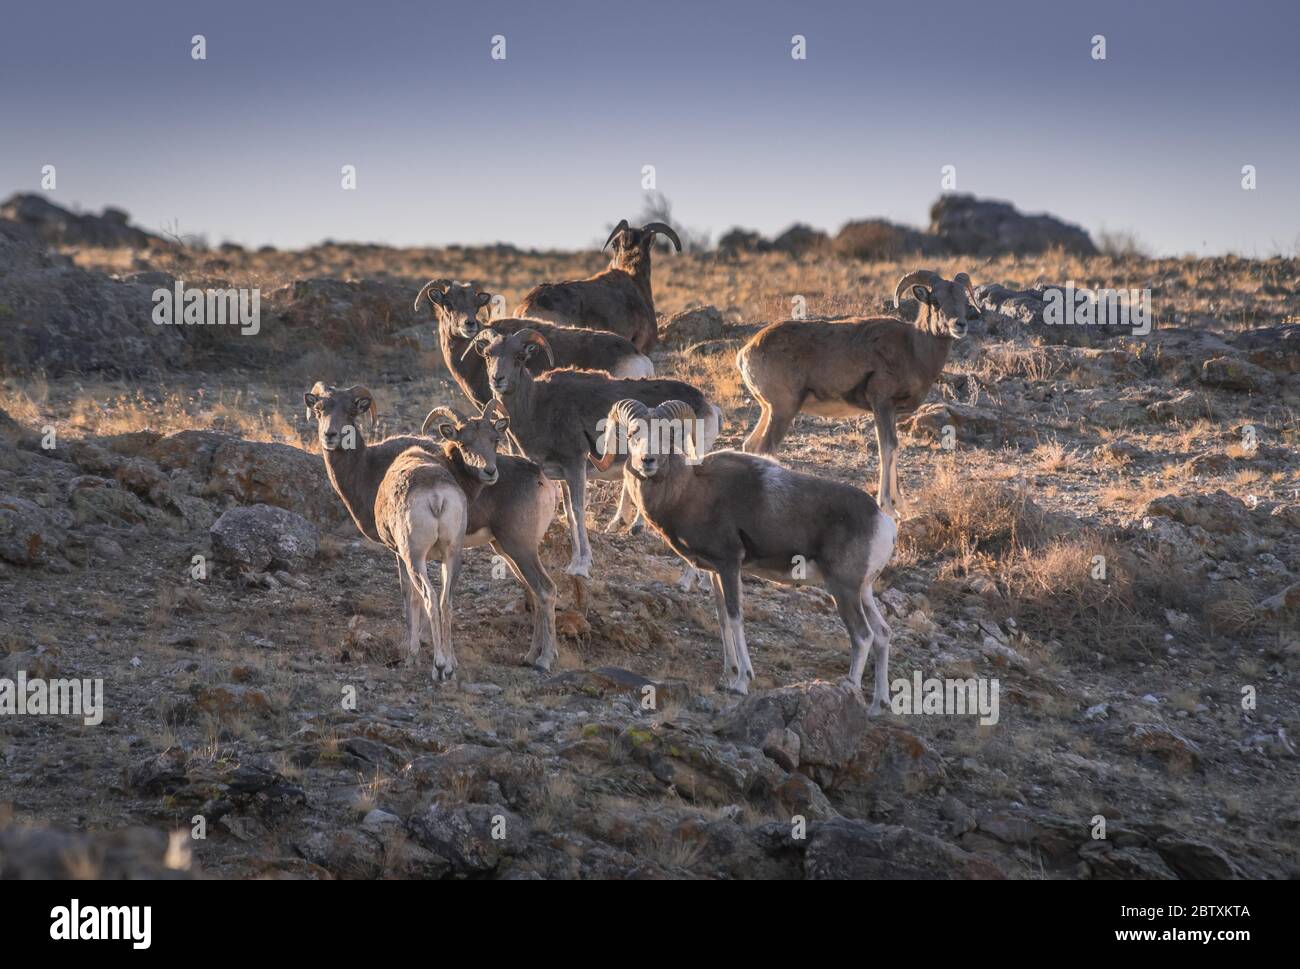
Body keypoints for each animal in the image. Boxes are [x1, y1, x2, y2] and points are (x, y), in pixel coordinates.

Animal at [305, 384, 561, 673]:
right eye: (320, 409)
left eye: (350, 411)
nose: (330, 435)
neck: (366, 468)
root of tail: (542, 479)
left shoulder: (402, 553)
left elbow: (412, 598)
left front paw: (416, 654)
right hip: (506, 550)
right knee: (534, 593)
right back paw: (529, 657)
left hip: (520, 548)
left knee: (545, 590)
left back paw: (544, 660)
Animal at [472, 328, 720, 582]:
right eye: (488, 354)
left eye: (519, 356)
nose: (498, 379)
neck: (535, 407)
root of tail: (708, 407)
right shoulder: (562, 475)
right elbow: (569, 514)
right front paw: (575, 563)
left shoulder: (575, 465)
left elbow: (578, 511)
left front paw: (581, 567)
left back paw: (687, 581)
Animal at [593, 398, 897, 709]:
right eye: (633, 434)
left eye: (668, 436)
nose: (648, 461)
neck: (691, 492)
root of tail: (884, 523)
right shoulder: (715, 571)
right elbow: (722, 619)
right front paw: (727, 677)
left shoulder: (730, 565)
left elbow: (735, 617)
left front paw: (741, 682)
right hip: (863, 591)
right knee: (882, 634)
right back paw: (878, 704)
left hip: (843, 588)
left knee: (862, 636)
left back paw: (851, 688)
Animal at [737, 270, 980, 517]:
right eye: (936, 301)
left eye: (965, 302)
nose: (959, 325)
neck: (914, 348)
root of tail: (746, 352)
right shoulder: (882, 405)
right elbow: (887, 448)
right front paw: (888, 507)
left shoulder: (892, 412)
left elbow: (895, 449)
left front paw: (901, 506)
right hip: (783, 411)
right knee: (765, 449)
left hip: (769, 410)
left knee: (750, 446)